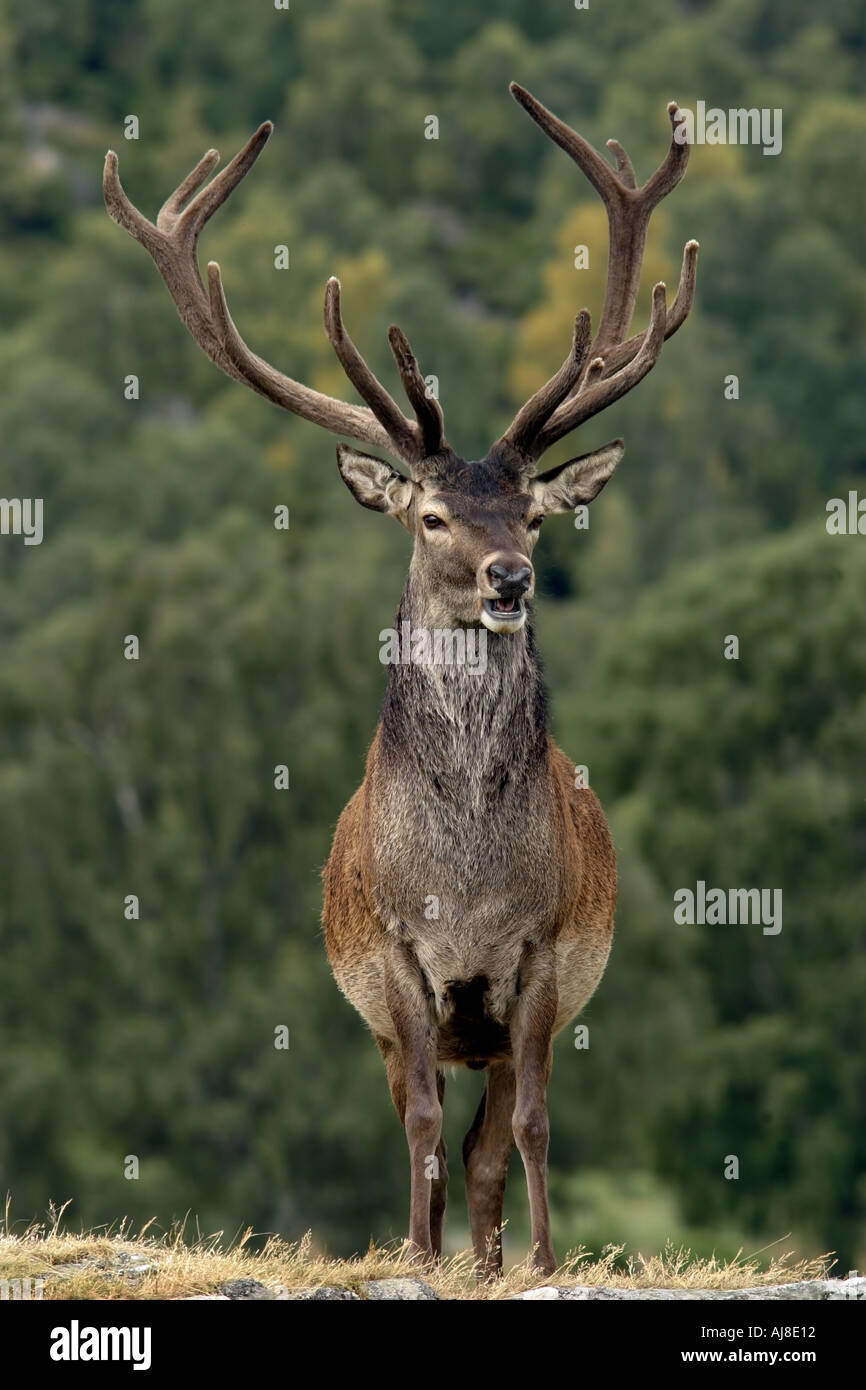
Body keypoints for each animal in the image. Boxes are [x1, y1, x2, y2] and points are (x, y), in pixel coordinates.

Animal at [104, 82, 698, 1277]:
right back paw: (435, 1246)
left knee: (488, 1144)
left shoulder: (541, 959)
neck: (462, 884)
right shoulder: (392, 962)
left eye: (531, 514)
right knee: (430, 1129)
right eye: (431, 517)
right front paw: (417, 1260)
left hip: (519, 1018)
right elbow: (421, 1120)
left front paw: (544, 1265)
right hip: (383, 1018)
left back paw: (492, 1256)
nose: (511, 576)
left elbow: (529, 1127)